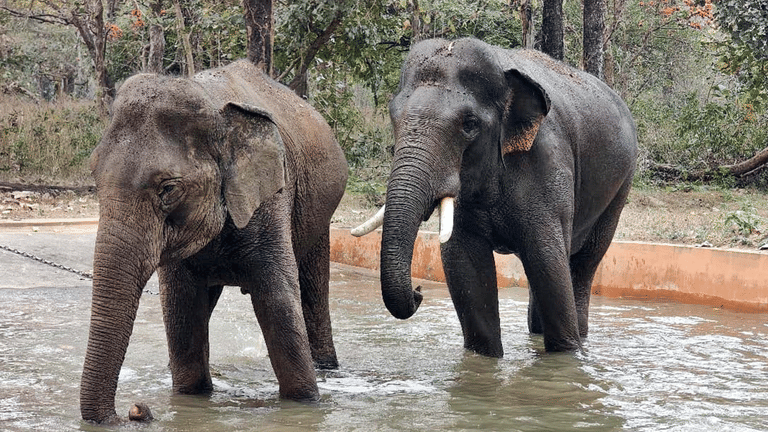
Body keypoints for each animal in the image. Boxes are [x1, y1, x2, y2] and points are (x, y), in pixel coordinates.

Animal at [81, 60, 348, 423]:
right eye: (94, 177)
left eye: (168, 189)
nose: (136, 411)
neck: (212, 104)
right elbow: (180, 305)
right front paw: (190, 397)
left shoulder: (272, 197)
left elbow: (277, 300)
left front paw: (305, 403)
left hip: (319, 214)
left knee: (313, 289)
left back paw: (327, 369)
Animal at [353, 38, 637, 356]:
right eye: (393, 116)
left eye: (469, 124)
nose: (418, 291)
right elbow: (465, 266)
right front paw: (484, 359)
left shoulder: (548, 165)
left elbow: (548, 261)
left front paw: (566, 355)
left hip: (621, 185)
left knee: (581, 264)